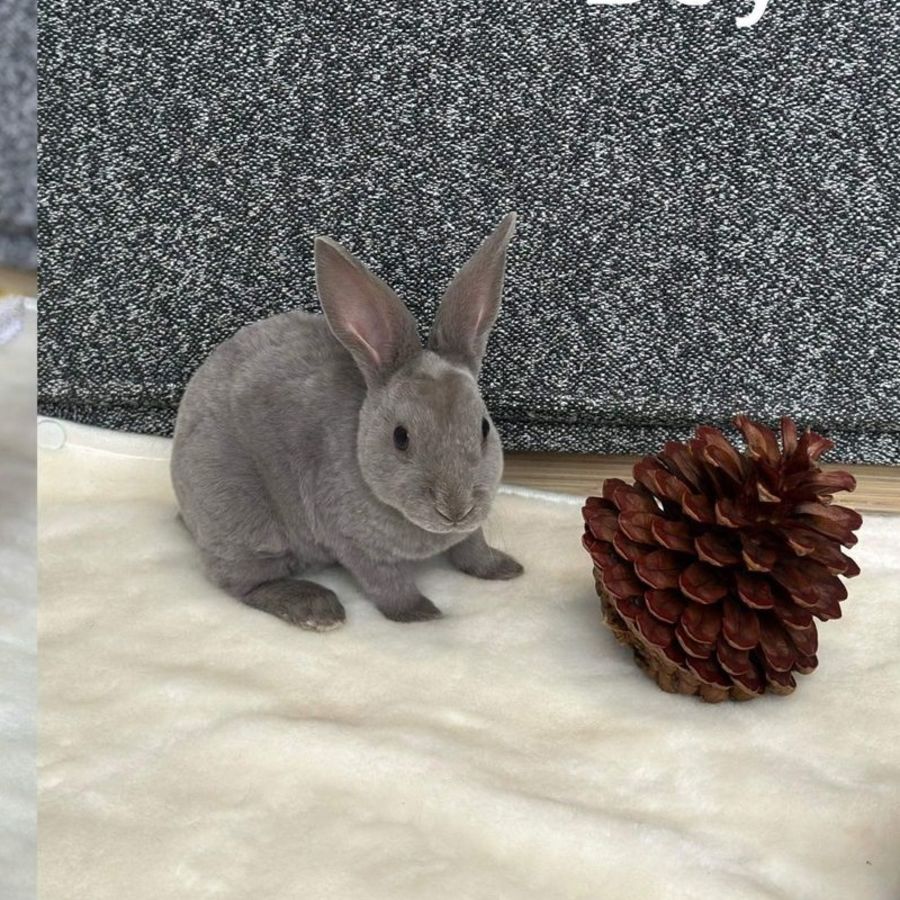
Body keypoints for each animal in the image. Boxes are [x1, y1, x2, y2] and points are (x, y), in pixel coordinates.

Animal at [171, 213, 524, 630]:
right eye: (400, 438)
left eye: (484, 428)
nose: (455, 510)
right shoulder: (353, 542)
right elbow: (386, 583)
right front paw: (421, 614)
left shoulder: (469, 532)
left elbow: (473, 549)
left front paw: (505, 569)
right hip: (239, 513)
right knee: (243, 582)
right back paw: (318, 610)